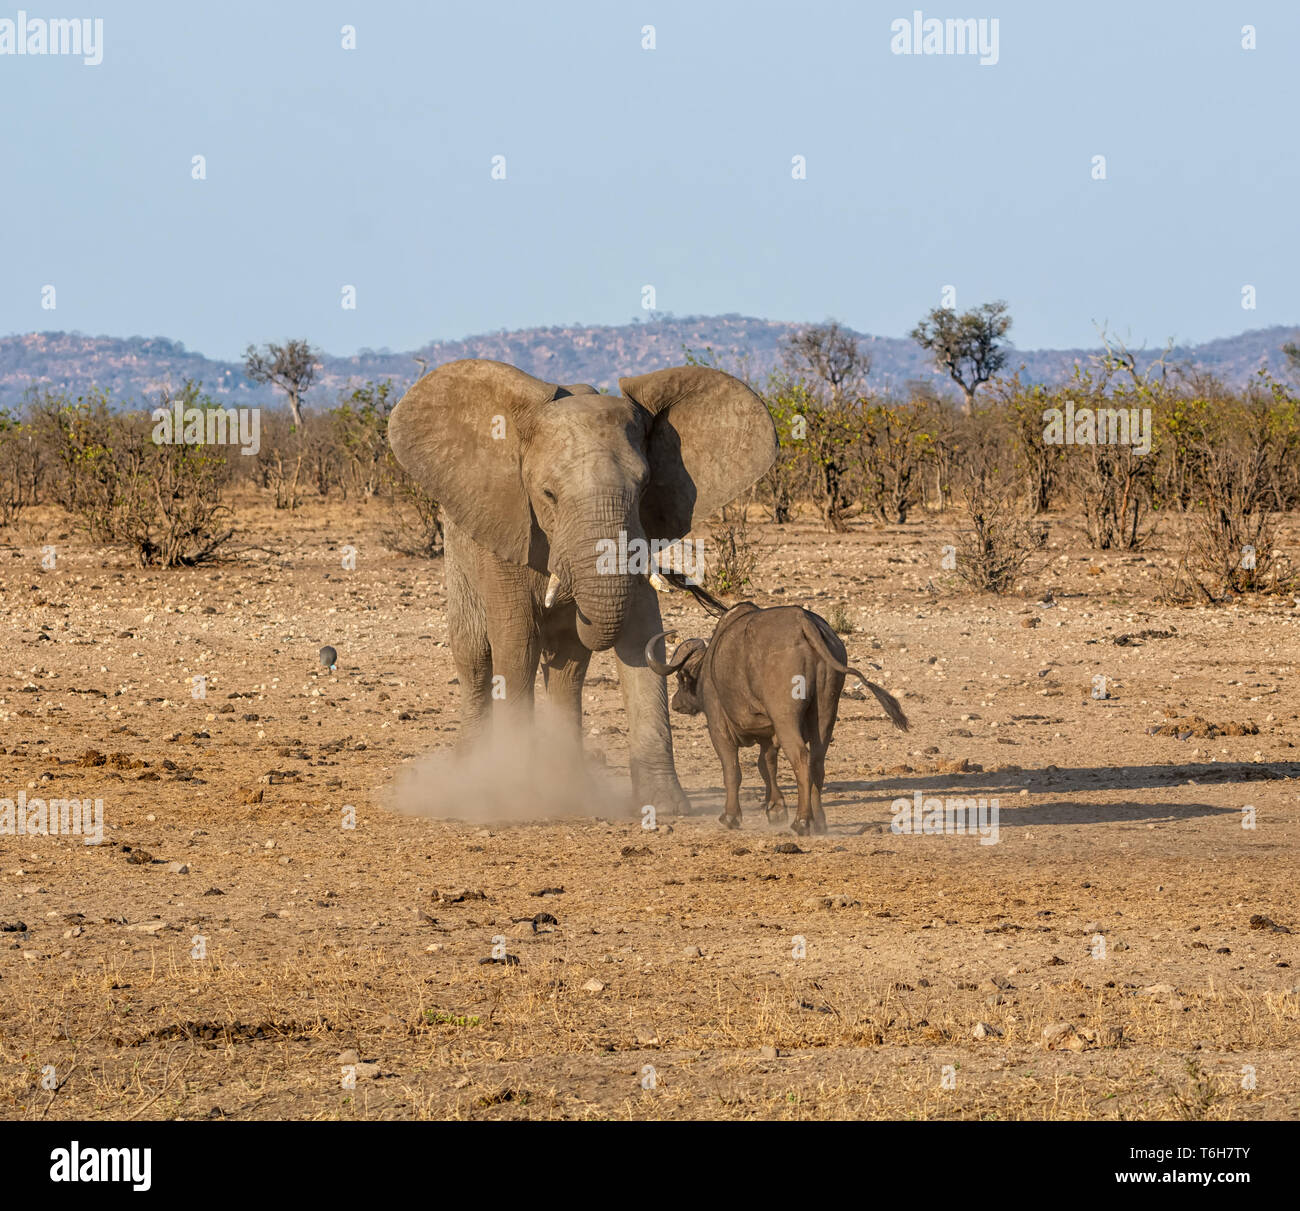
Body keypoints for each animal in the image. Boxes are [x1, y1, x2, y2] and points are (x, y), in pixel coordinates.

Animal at [388, 358, 776, 816]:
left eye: (644, 488)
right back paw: (470, 777)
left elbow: (641, 636)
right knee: (476, 656)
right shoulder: (508, 526)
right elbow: (517, 641)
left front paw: (665, 808)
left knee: (568, 668)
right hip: (459, 556)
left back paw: (566, 782)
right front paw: (515, 798)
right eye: (548, 494)